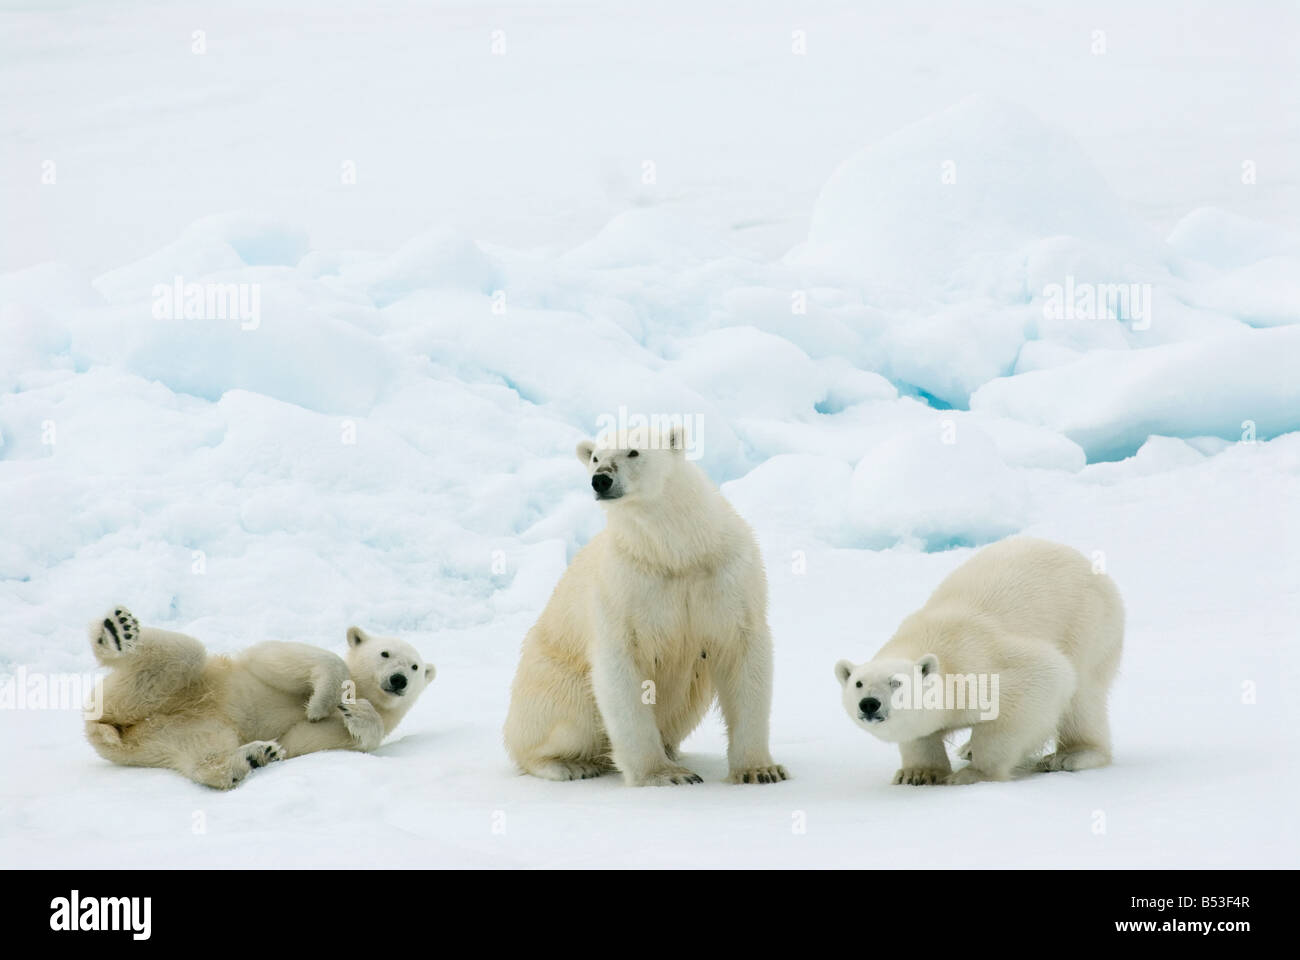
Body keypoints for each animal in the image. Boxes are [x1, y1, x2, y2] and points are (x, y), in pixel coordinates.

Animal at [84, 606, 434, 789]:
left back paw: (254, 756)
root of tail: (111, 731)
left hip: (176, 732)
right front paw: (320, 703)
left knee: (205, 752)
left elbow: (313, 738)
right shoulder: (266, 665)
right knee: (182, 653)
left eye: (415, 666)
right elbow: (282, 658)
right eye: (384, 653)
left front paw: (357, 713)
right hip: (176, 688)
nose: (399, 679)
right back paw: (116, 632)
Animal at [503, 423, 787, 787]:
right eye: (595, 457)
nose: (600, 479)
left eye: (633, 451)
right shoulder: (622, 589)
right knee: (566, 720)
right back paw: (569, 765)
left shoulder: (727, 575)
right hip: (550, 685)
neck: (676, 553)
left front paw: (761, 770)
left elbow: (742, 652)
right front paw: (665, 775)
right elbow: (622, 670)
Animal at [834, 537, 1123, 785]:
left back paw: (1070, 755)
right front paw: (917, 773)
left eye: (897, 682)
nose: (869, 703)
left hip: (1088, 623)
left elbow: (1043, 678)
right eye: (859, 683)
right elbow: (921, 733)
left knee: (1082, 694)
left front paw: (973, 774)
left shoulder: (984, 662)